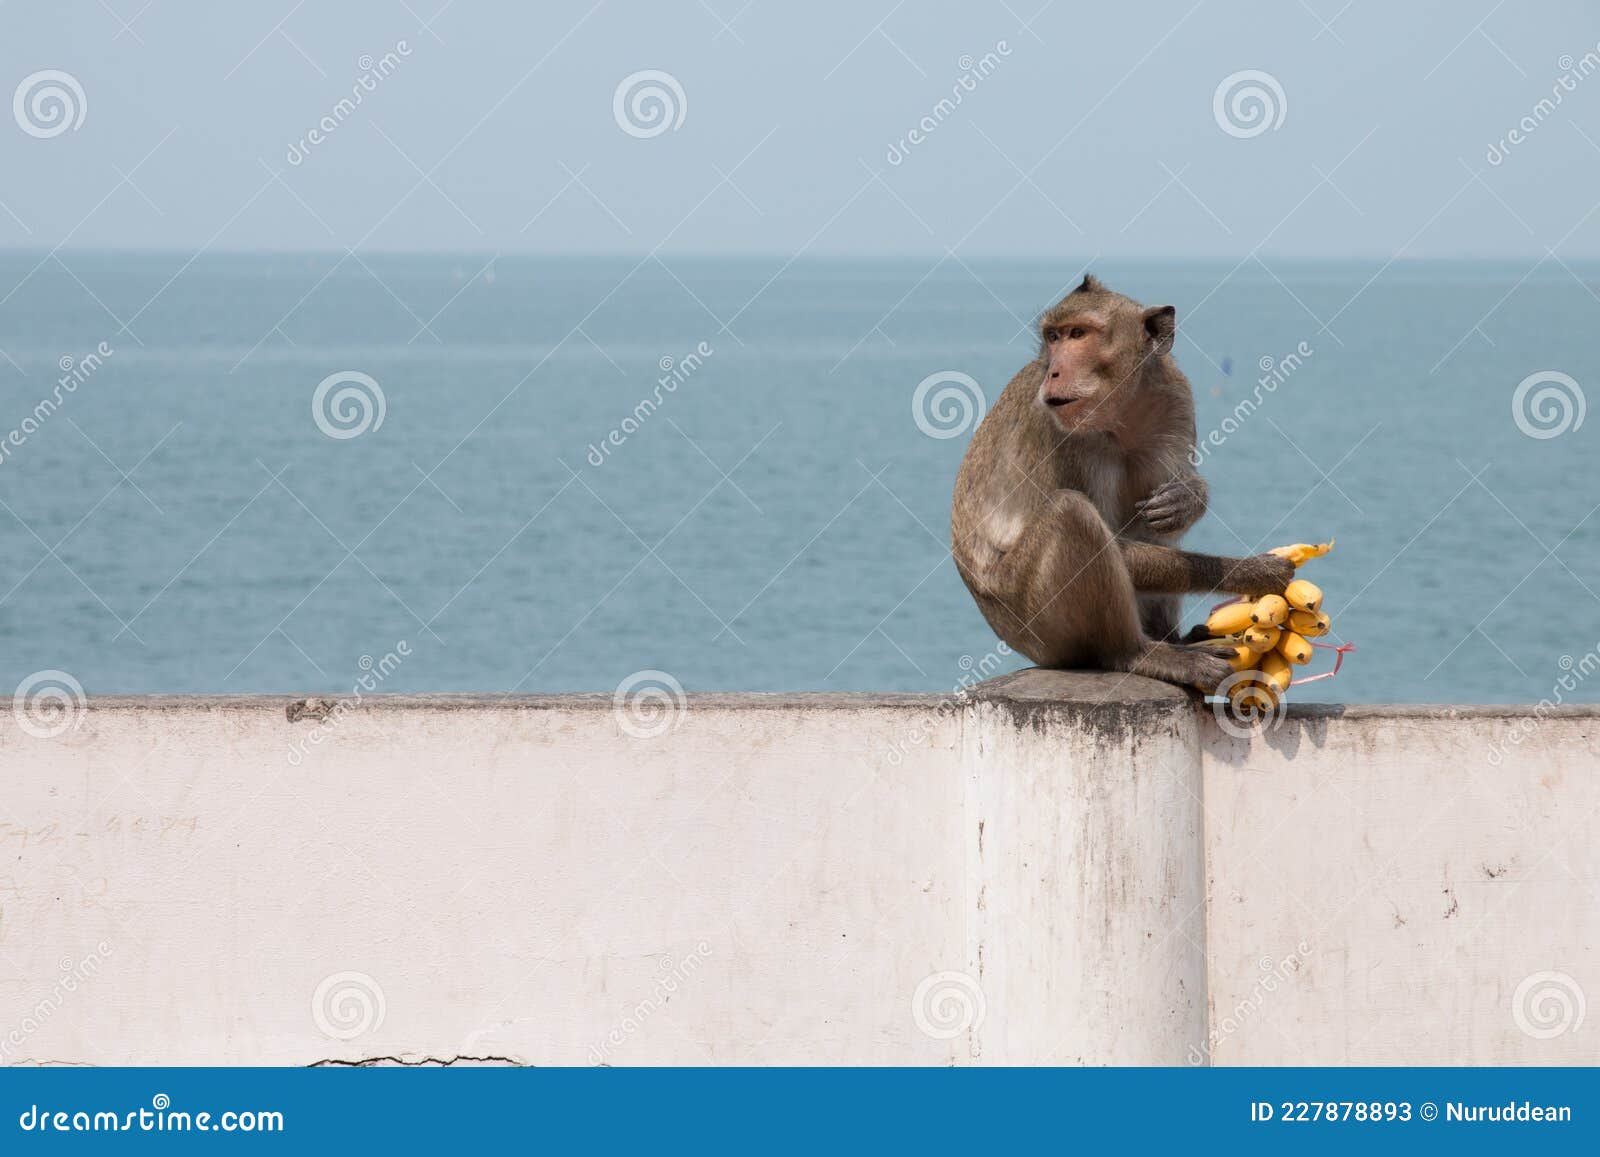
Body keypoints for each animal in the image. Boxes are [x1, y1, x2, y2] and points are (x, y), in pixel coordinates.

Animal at [950, 275, 1294, 692]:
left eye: (1078, 334)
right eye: (1053, 337)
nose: (1053, 372)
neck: (1119, 414)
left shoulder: (1176, 398)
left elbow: (1167, 514)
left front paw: (1188, 498)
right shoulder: (1056, 431)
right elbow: (1112, 539)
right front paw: (1255, 571)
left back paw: (1175, 639)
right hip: (1031, 620)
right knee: (1073, 515)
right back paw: (1136, 652)